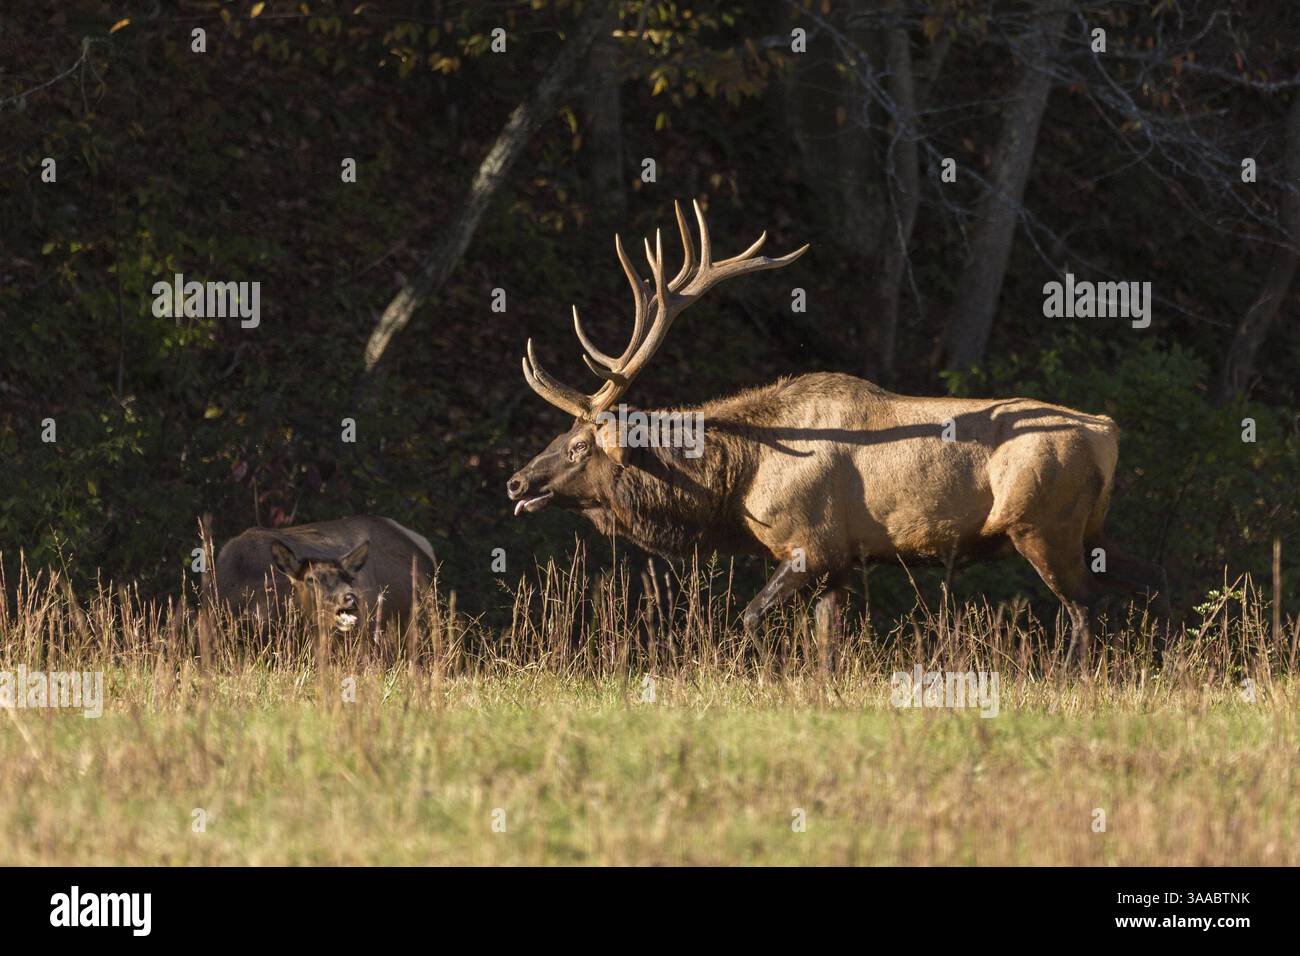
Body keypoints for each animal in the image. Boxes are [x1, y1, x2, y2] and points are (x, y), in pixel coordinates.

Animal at [506, 200, 1168, 666]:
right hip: (1088, 528)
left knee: (1084, 607)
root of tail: (1108, 431)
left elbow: (751, 619)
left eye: (577, 446)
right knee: (1155, 579)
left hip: (1043, 524)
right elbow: (829, 647)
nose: (516, 481)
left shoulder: (812, 543)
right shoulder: (843, 564)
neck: (739, 483)